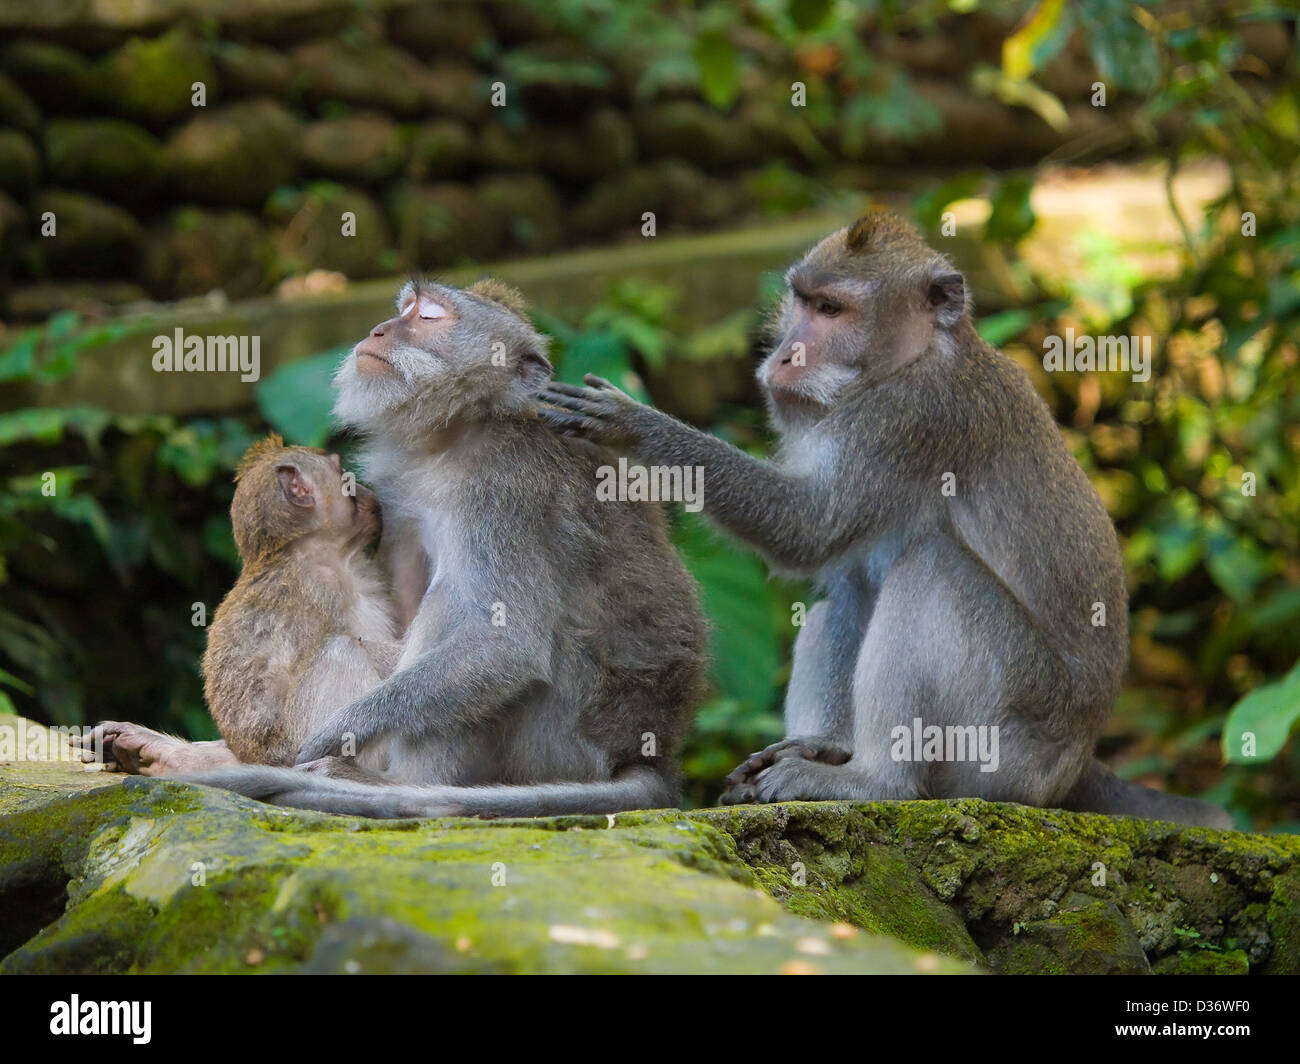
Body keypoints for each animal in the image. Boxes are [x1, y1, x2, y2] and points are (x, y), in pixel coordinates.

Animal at [182, 278, 710, 818]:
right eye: (405, 309)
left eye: (429, 317)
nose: (379, 329)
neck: (461, 433)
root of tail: (651, 753)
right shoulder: (399, 484)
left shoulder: (503, 486)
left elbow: (507, 642)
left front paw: (338, 733)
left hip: (563, 742)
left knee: (456, 599)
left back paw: (400, 784)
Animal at [536, 210, 1232, 830]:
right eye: (802, 301)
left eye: (833, 311)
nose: (784, 356)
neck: (914, 357)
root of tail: (1079, 763)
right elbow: (842, 573)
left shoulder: (912, 415)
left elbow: (807, 528)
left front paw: (635, 424)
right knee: (844, 598)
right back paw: (831, 751)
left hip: (1016, 742)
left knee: (931, 573)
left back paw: (874, 782)